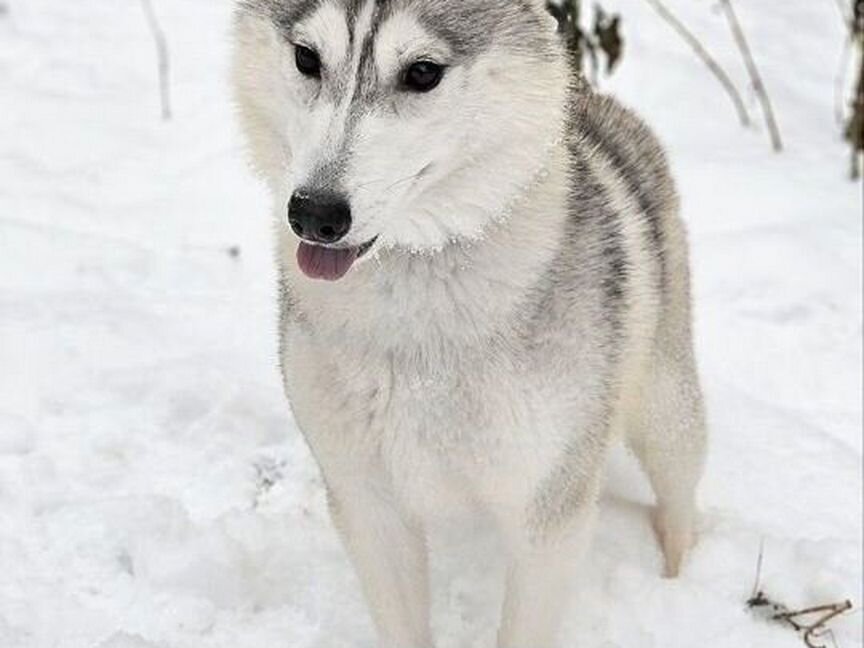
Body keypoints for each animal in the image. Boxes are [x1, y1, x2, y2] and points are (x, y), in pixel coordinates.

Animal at [233, 1, 704, 644]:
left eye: (422, 72)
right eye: (307, 58)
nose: (314, 213)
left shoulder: (547, 515)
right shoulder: (367, 501)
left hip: (665, 412)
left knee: (680, 505)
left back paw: (677, 583)